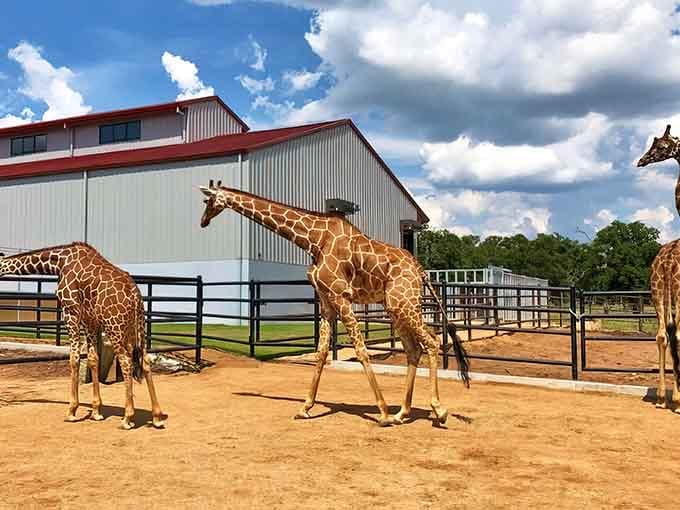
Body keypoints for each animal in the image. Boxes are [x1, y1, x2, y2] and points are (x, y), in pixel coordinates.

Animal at [0, 242, 164, 429]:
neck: (59, 262)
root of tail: (135, 296)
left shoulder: (70, 311)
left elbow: (74, 358)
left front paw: (71, 411)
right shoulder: (90, 319)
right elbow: (93, 359)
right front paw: (96, 411)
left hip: (115, 327)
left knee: (126, 362)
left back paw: (127, 418)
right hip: (137, 328)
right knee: (145, 362)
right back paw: (157, 417)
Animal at [199, 180, 469, 426]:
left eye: (207, 201)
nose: (202, 221)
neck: (313, 239)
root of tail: (420, 270)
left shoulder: (341, 296)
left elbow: (361, 350)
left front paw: (382, 413)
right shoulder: (327, 301)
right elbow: (321, 353)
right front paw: (304, 408)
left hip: (405, 302)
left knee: (432, 341)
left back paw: (437, 410)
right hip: (395, 308)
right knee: (414, 350)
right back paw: (402, 413)